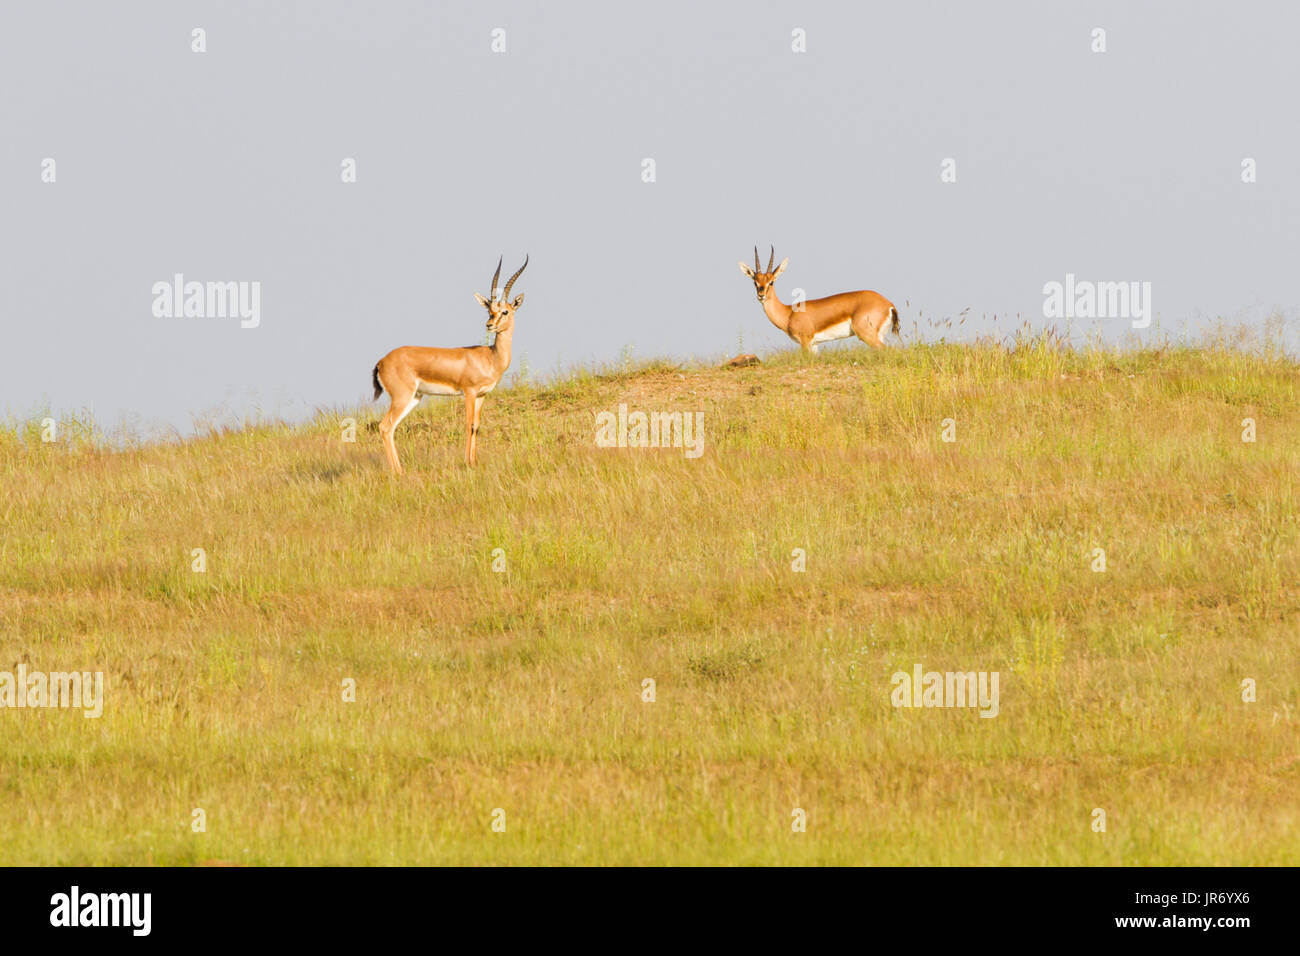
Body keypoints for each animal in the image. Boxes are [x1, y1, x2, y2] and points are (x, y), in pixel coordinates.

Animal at [371, 255, 528, 473]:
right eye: (490, 310)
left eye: (504, 311)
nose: (489, 325)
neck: (490, 357)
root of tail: (381, 361)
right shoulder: (469, 392)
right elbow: (469, 425)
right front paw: (468, 463)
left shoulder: (482, 395)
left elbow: (477, 426)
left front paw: (474, 462)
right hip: (402, 397)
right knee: (385, 426)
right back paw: (398, 472)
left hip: (414, 398)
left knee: (391, 428)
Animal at [738, 245, 899, 353]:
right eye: (755, 282)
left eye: (771, 282)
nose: (761, 295)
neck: (789, 313)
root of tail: (888, 303)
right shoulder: (814, 345)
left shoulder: (805, 342)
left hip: (868, 336)